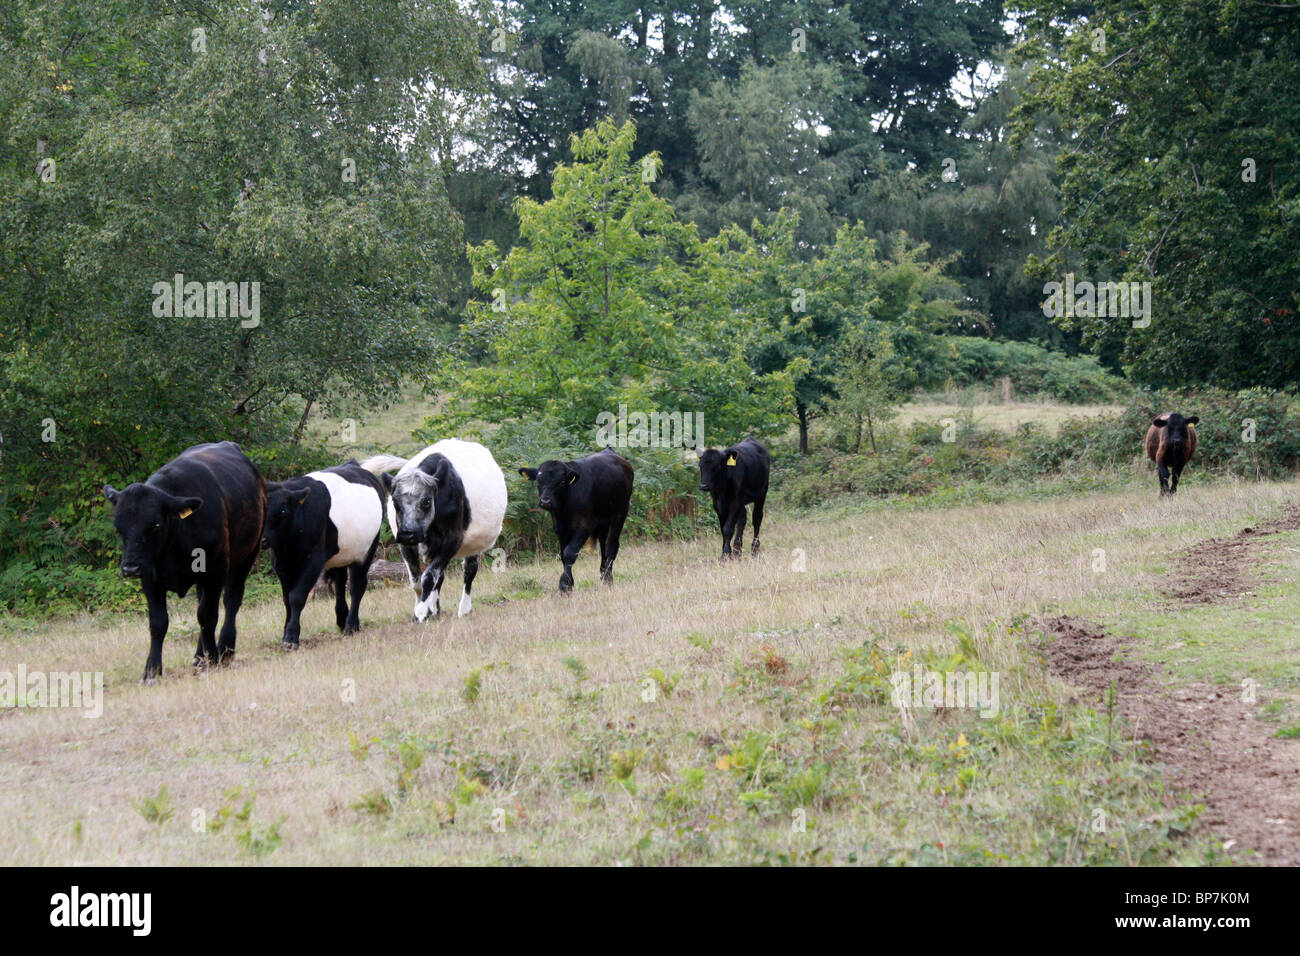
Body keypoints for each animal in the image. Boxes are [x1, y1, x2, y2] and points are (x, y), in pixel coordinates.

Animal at [102, 441, 265, 683]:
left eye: (155, 525)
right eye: (119, 527)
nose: (130, 567)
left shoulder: (215, 571)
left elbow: (208, 616)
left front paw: (213, 659)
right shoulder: (150, 578)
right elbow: (159, 622)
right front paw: (152, 670)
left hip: (247, 554)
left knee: (231, 601)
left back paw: (225, 649)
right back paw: (199, 656)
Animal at [261, 459, 388, 649]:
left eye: (283, 511)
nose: (261, 539)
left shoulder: (314, 562)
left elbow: (297, 597)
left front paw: (291, 637)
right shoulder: (281, 564)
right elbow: (286, 599)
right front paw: (285, 633)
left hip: (368, 547)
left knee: (357, 586)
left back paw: (350, 626)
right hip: (342, 553)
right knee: (340, 584)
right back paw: (343, 620)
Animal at [361, 439, 506, 622]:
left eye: (426, 501)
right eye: (395, 502)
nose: (408, 533)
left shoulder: (453, 539)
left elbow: (429, 577)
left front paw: (420, 613)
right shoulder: (404, 544)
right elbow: (416, 581)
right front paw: (422, 611)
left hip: (475, 542)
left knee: (469, 570)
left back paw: (464, 609)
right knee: (441, 575)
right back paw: (435, 610)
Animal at [519, 447, 634, 592]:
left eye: (562, 482)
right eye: (539, 480)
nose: (545, 501)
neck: (565, 509)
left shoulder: (586, 525)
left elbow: (570, 553)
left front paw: (565, 585)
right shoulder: (560, 528)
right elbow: (563, 555)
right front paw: (568, 584)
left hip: (620, 514)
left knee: (611, 545)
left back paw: (608, 579)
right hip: (604, 522)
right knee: (603, 546)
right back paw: (603, 575)